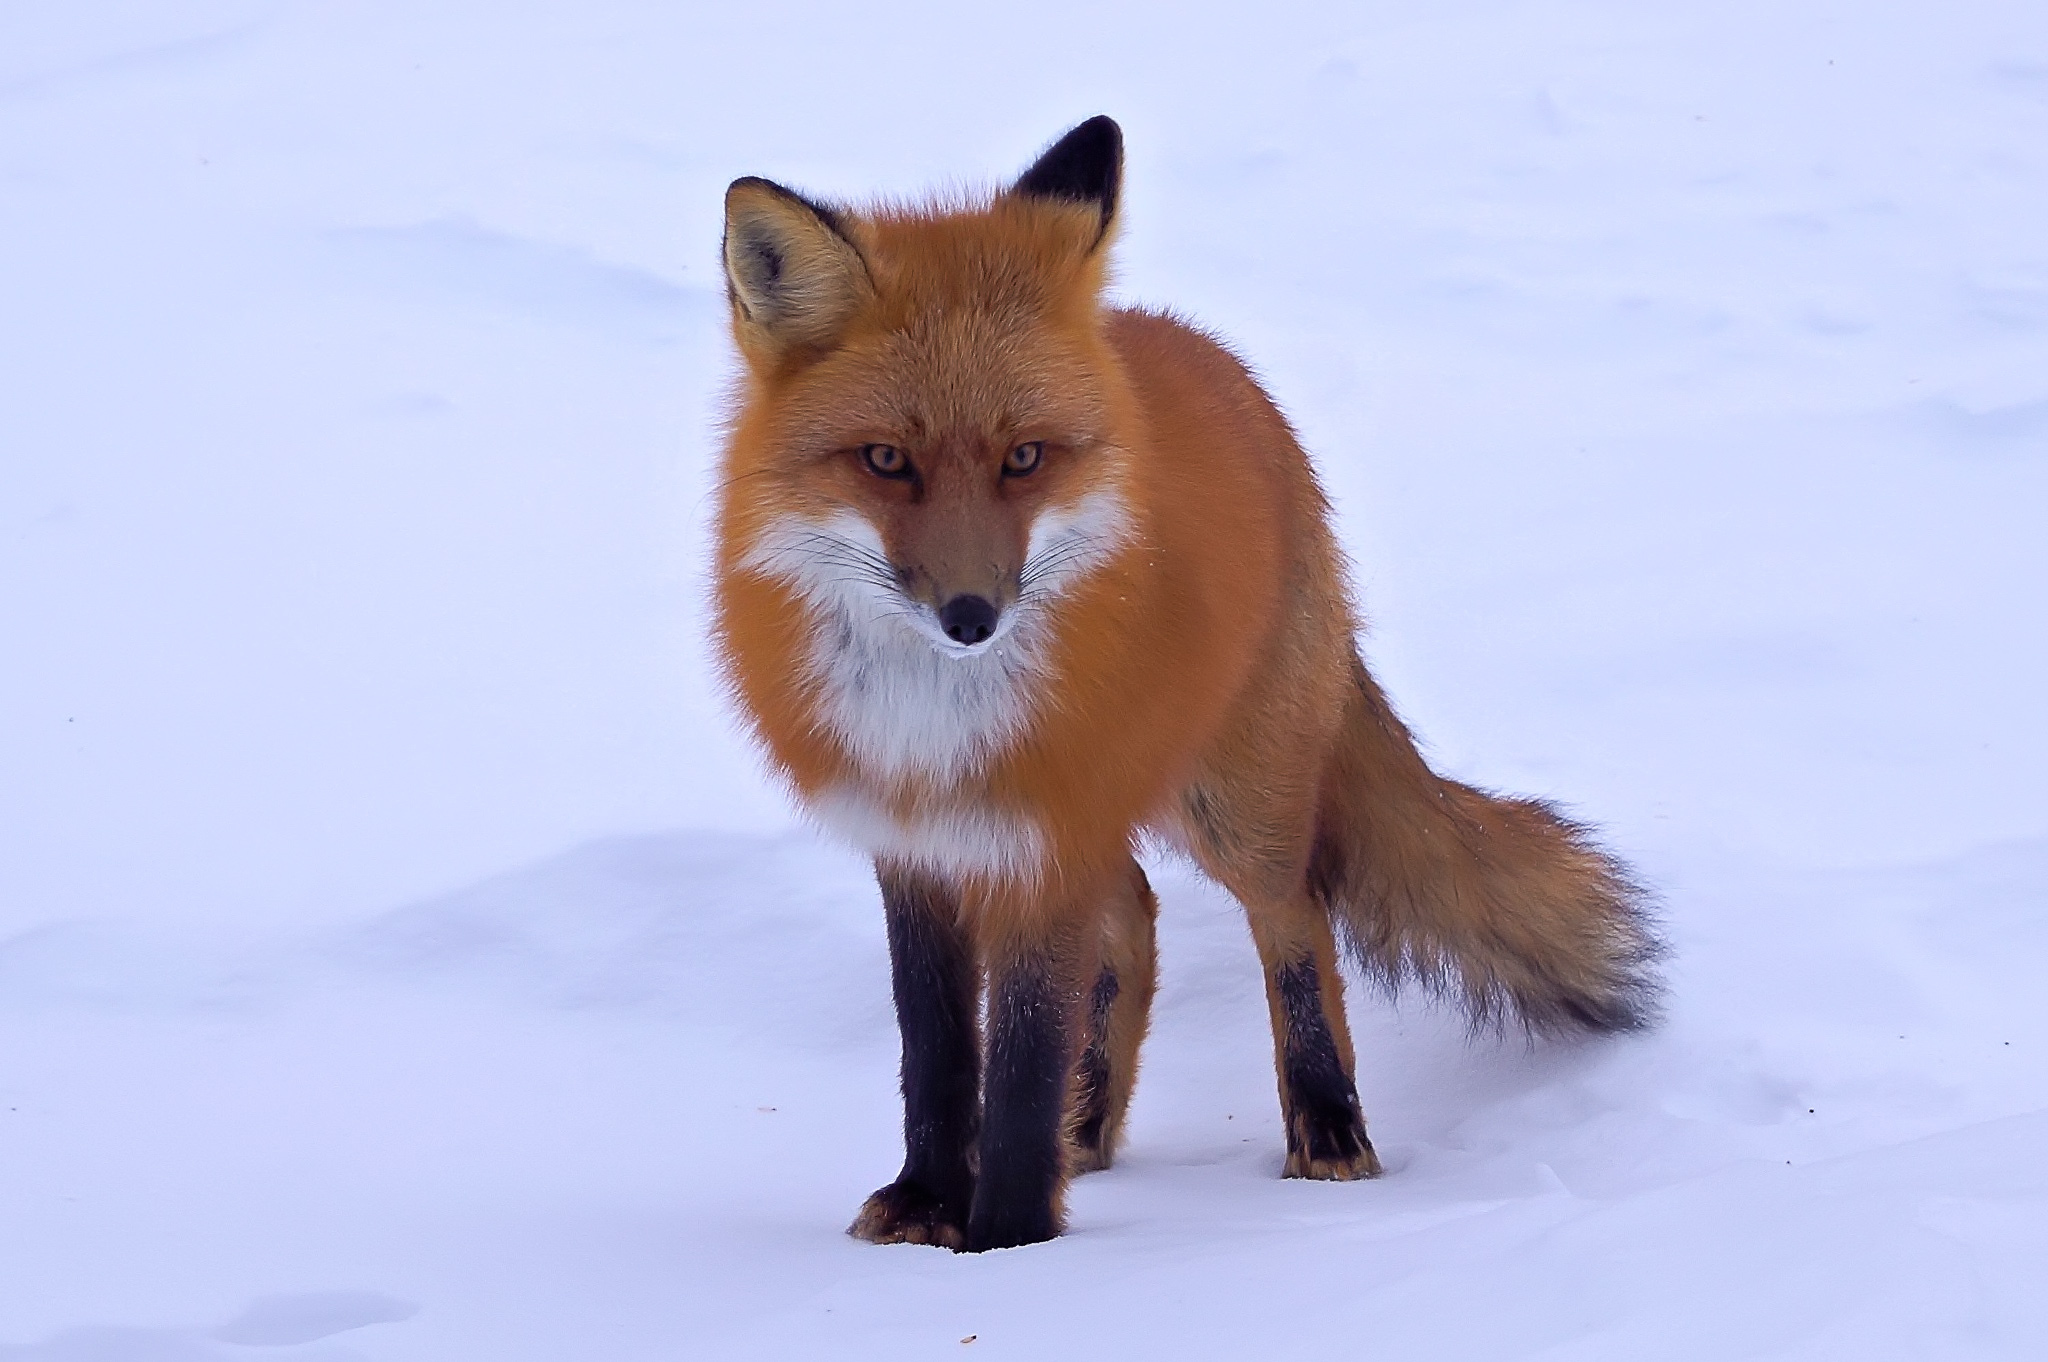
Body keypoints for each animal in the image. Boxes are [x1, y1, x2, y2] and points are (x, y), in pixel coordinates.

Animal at [711, 116, 1659, 1252]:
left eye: (1025, 458)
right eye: (886, 461)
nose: (972, 617)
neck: (939, 719)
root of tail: (1210, 358)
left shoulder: (1046, 831)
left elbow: (1019, 1056)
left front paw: (1009, 1240)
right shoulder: (921, 844)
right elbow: (935, 1050)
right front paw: (930, 1205)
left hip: (1232, 798)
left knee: (1293, 916)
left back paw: (1325, 1127)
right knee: (1136, 915)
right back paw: (1089, 1125)